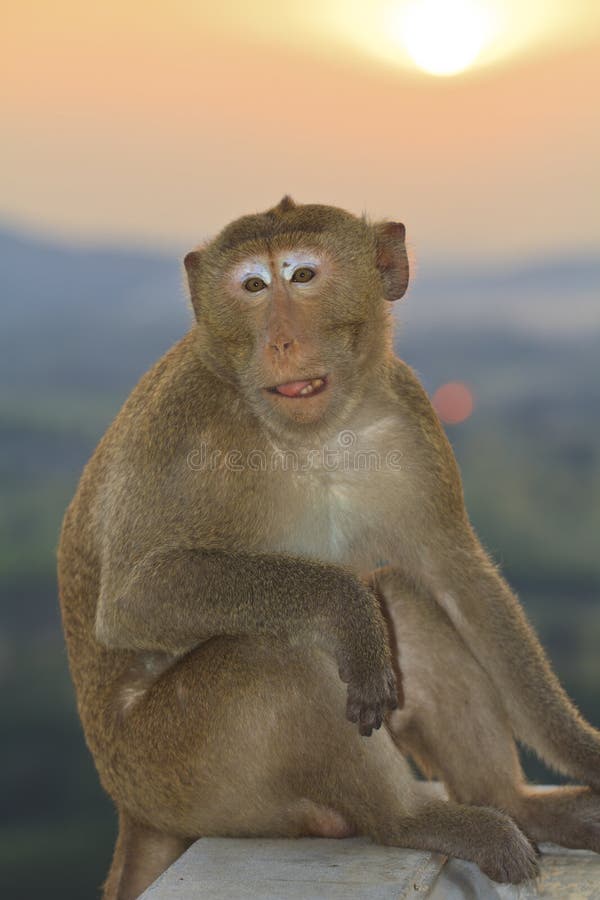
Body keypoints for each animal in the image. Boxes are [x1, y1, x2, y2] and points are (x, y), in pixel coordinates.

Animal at [58, 197, 600, 900]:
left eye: (303, 275)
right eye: (252, 286)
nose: (281, 342)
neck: (311, 435)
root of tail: (130, 807)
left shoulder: (410, 416)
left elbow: (460, 581)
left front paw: (585, 751)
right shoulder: (184, 426)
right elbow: (133, 601)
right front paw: (346, 611)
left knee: (401, 594)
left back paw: (515, 806)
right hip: (178, 774)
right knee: (278, 652)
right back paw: (411, 820)